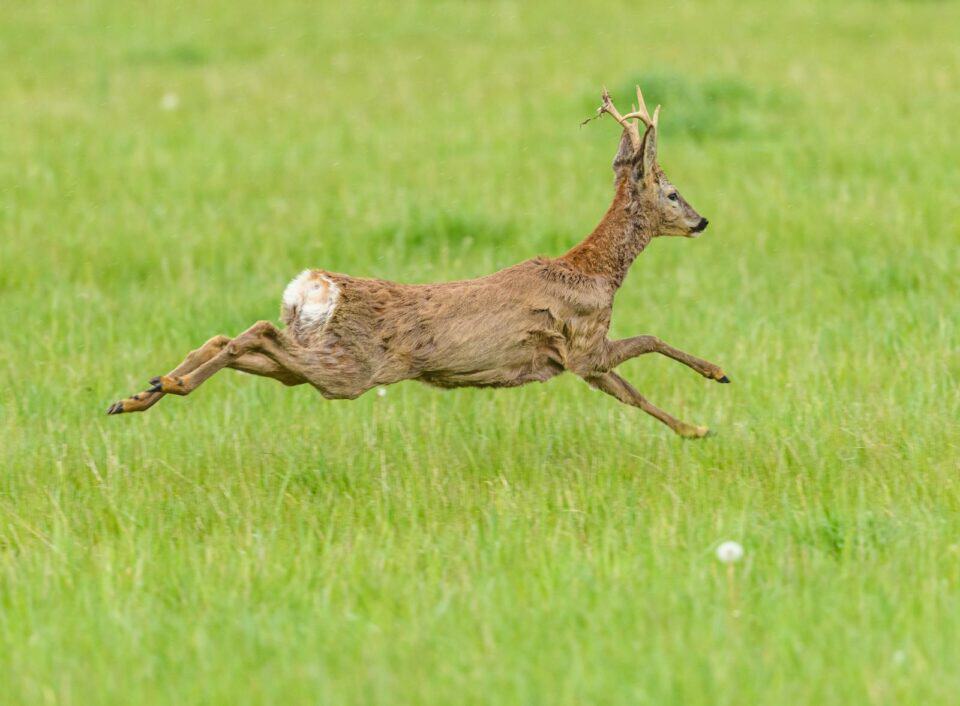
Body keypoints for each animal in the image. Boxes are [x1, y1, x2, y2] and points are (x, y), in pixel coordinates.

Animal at [107, 86, 730, 438]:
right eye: (672, 192)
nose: (702, 221)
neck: (594, 270)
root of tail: (313, 287)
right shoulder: (582, 346)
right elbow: (645, 349)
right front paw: (706, 408)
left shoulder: (576, 359)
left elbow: (633, 383)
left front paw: (698, 418)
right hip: (348, 369)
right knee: (253, 334)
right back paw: (161, 386)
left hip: (316, 360)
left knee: (239, 339)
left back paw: (142, 390)